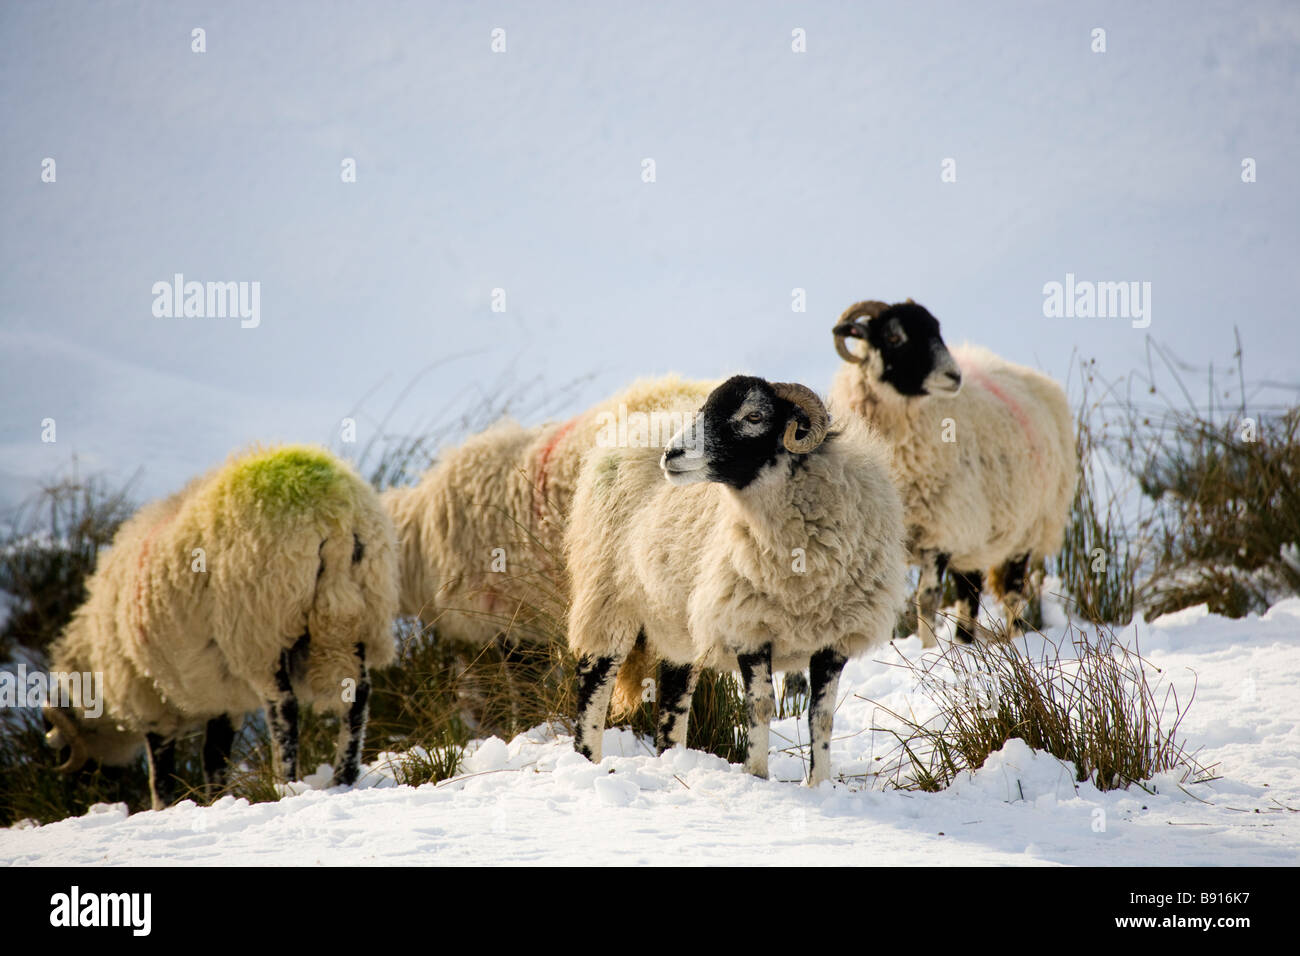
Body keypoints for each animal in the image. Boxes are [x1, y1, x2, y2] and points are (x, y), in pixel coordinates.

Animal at [42, 445, 399, 809]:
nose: (79, 790)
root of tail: (334, 513)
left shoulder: (152, 704)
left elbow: (162, 775)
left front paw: (166, 807)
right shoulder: (222, 696)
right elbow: (214, 758)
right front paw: (215, 799)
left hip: (261, 629)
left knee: (284, 708)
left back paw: (285, 783)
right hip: (352, 616)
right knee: (357, 696)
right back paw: (344, 776)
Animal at [565, 376, 907, 785]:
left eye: (754, 416)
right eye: (705, 408)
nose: (672, 455)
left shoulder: (835, 639)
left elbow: (821, 717)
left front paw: (819, 782)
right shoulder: (748, 624)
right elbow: (761, 705)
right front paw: (756, 773)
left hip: (673, 616)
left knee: (673, 694)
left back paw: (672, 758)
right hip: (607, 595)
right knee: (593, 681)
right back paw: (587, 761)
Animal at [829, 299, 1077, 646]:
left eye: (937, 330)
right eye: (894, 337)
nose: (954, 375)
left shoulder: (941, 530)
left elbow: (927, 598)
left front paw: (927, 649)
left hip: (1029, 528)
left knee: (1013, 593)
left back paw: (1012, 639)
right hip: (975, 537)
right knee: (969, 594)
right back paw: (965, 640)